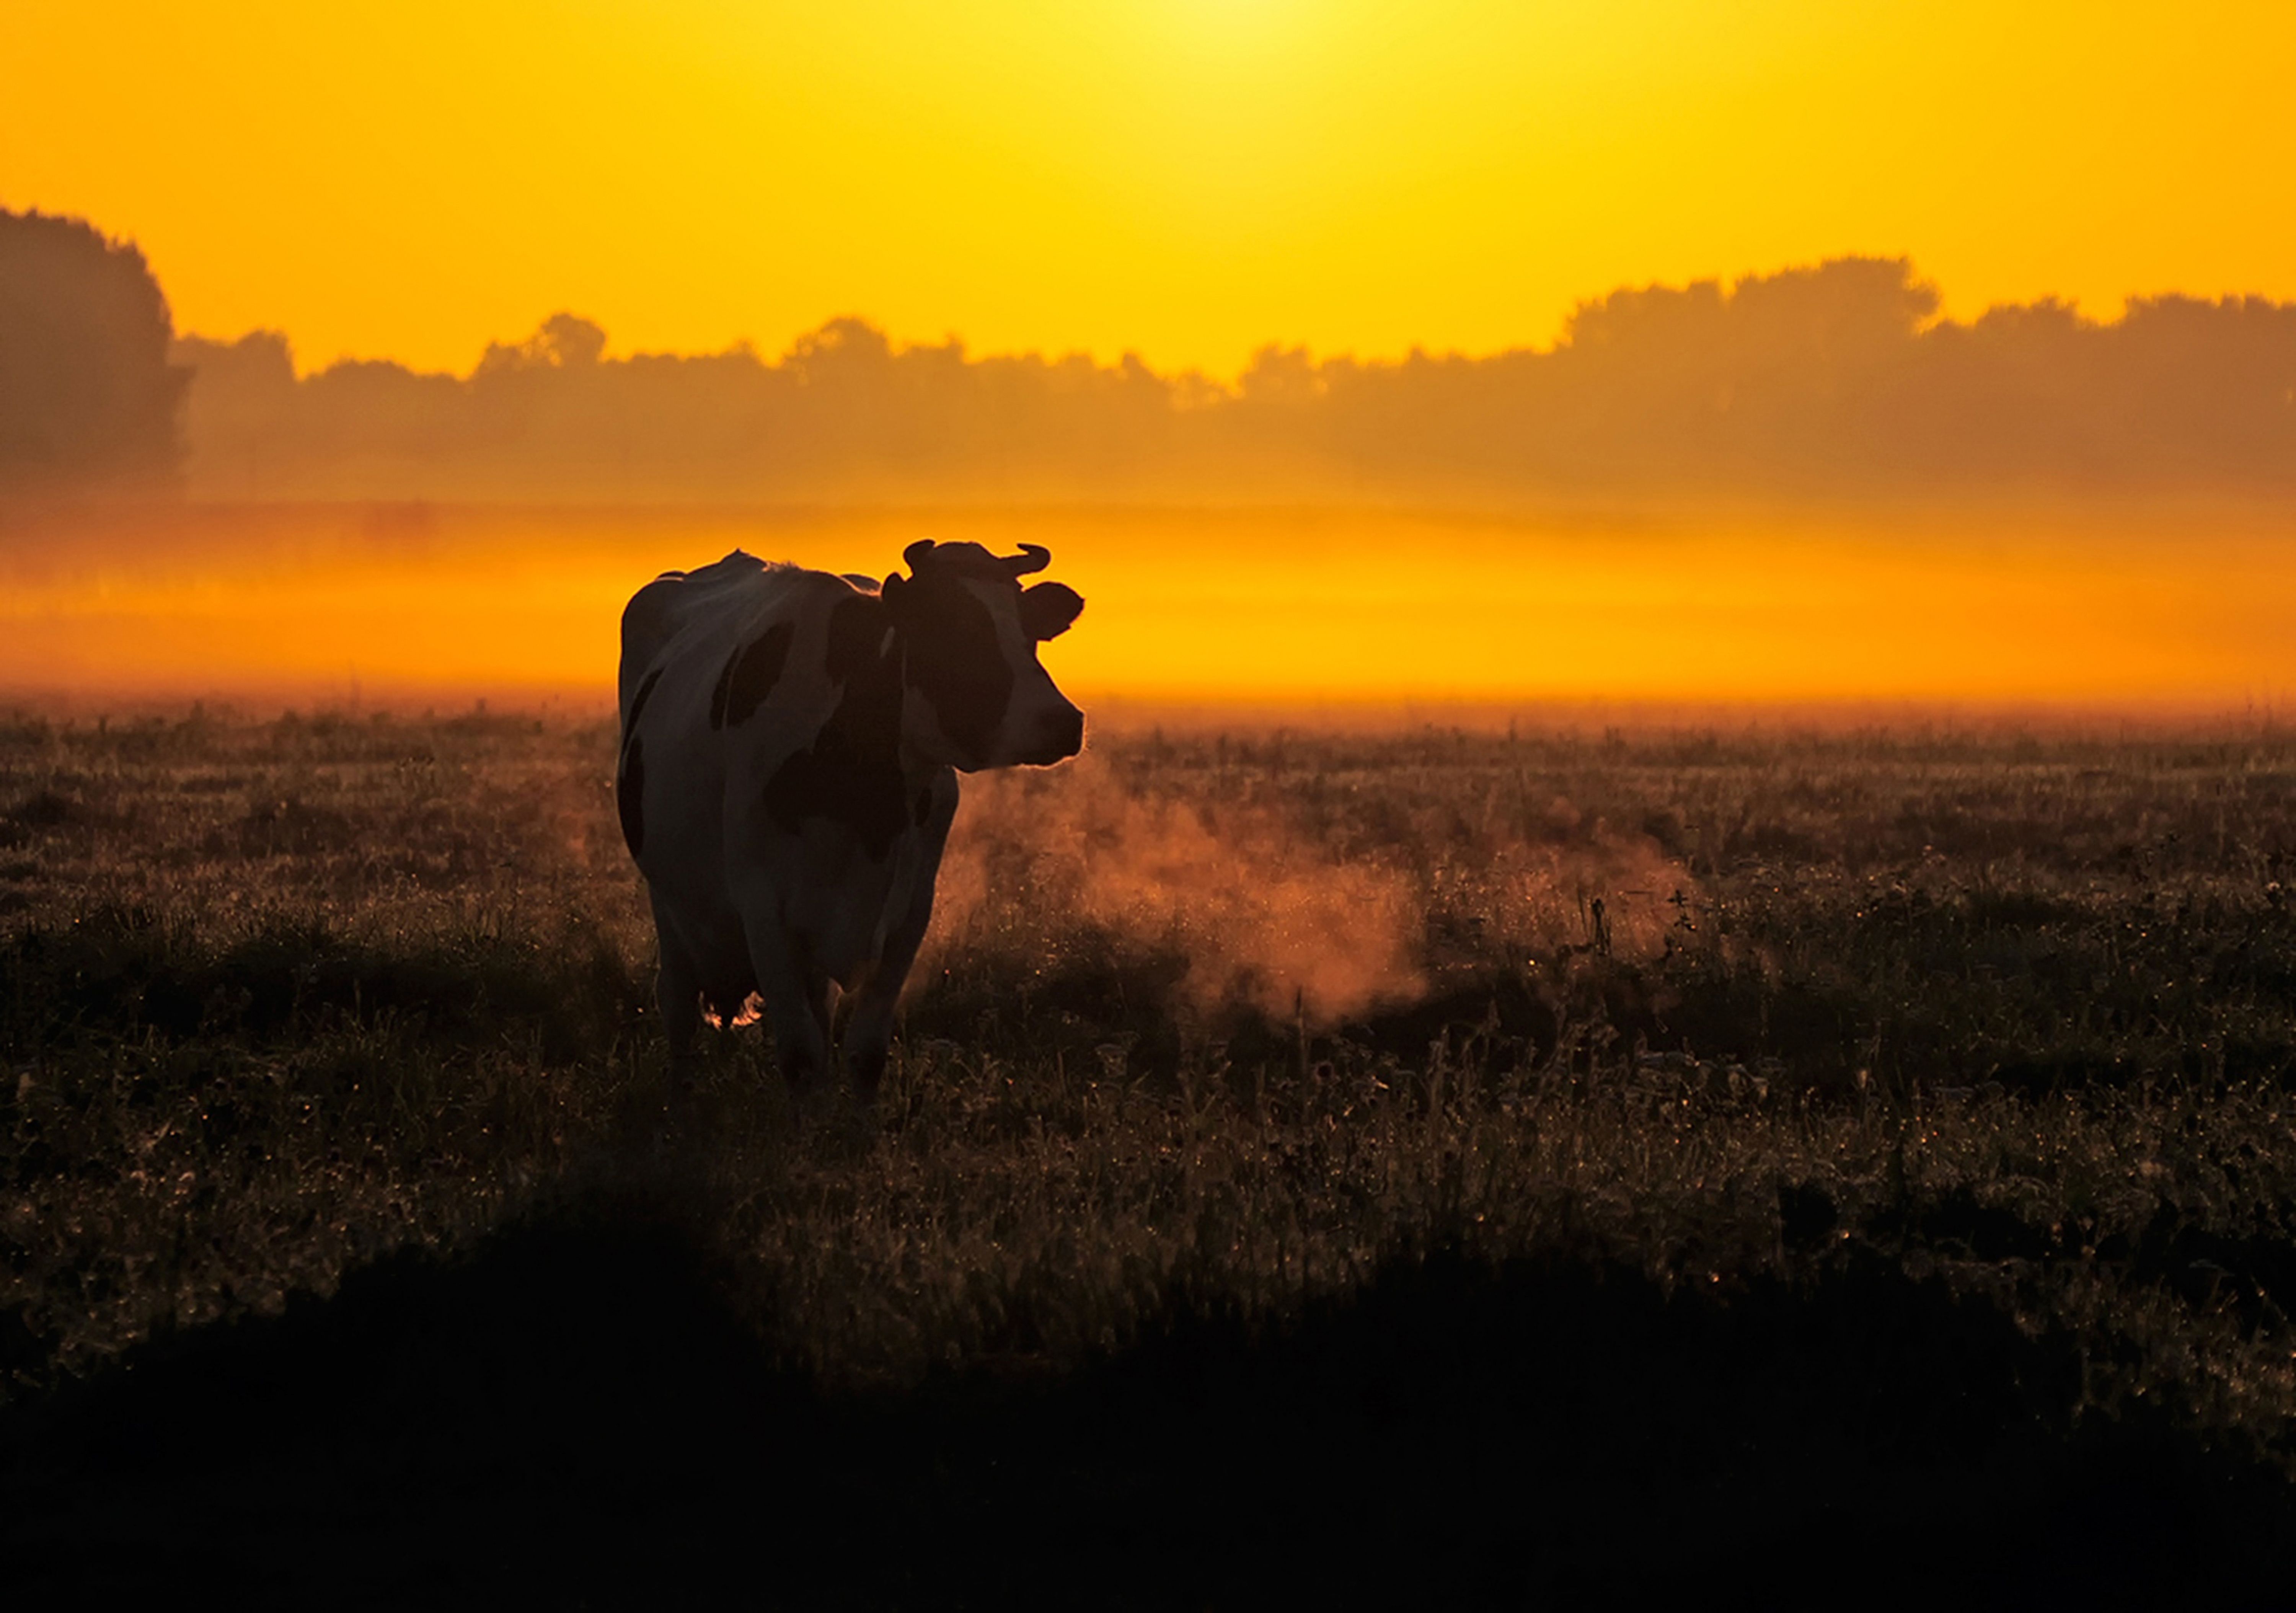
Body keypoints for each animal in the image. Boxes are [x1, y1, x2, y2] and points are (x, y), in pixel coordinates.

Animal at [615, 539, 1085, 1093]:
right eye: (955, 626)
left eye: (1031, 630)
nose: (1062, 721)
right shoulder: (762, 907)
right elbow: (800, 1056)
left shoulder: (908, 913)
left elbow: (863, 1053)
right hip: (670, 900)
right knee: (678, 1006)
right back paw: (681, 1095)